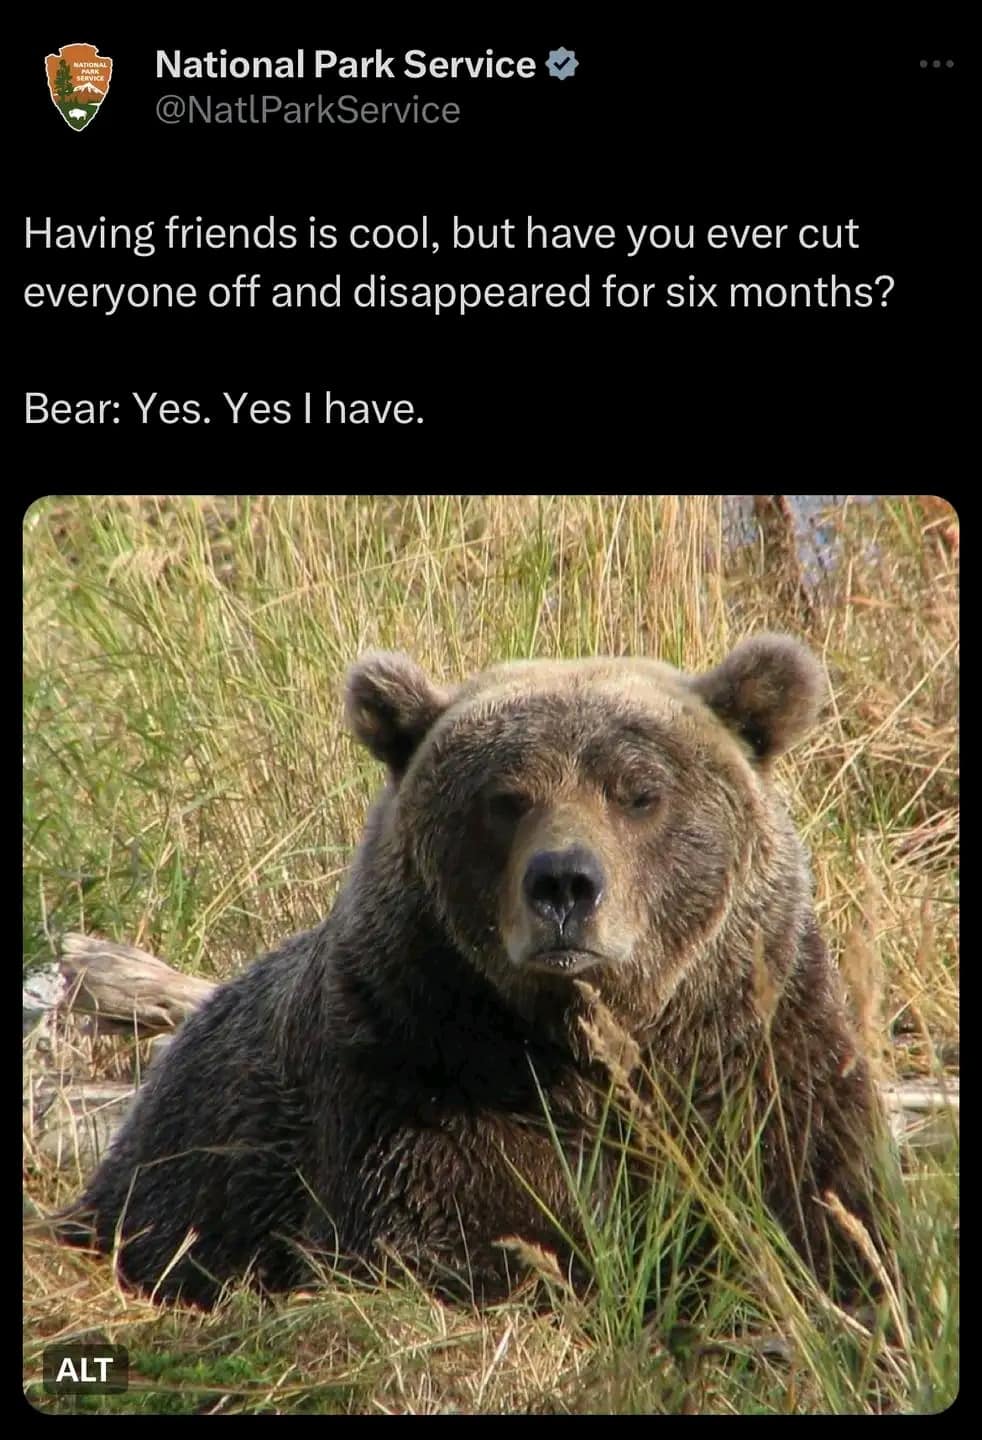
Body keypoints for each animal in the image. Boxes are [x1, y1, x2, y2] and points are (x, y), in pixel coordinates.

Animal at [64, 635, 882, 1309]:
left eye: (639, 793)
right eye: (506, 799)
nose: (564, 884)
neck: (583, 1048)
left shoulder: (759, 1059)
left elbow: (821, 1207)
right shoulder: (422, 1068)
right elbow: (454, 1237)